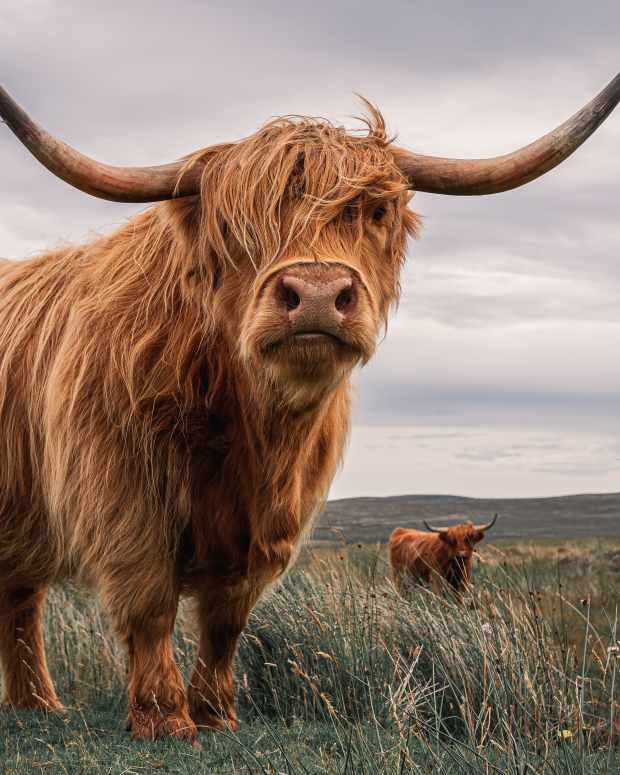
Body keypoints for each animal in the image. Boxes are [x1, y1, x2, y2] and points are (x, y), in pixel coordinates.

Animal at [0, 73, 617, 742]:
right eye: (233, 225)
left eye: (375, 211)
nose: (318, 294)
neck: (248, 427)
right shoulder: (123, 495)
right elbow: (150, 602)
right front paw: (166, 718)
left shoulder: (270, 522)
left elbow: (226, 620)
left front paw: (217, 714)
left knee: (19, 598)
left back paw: (37, 704)